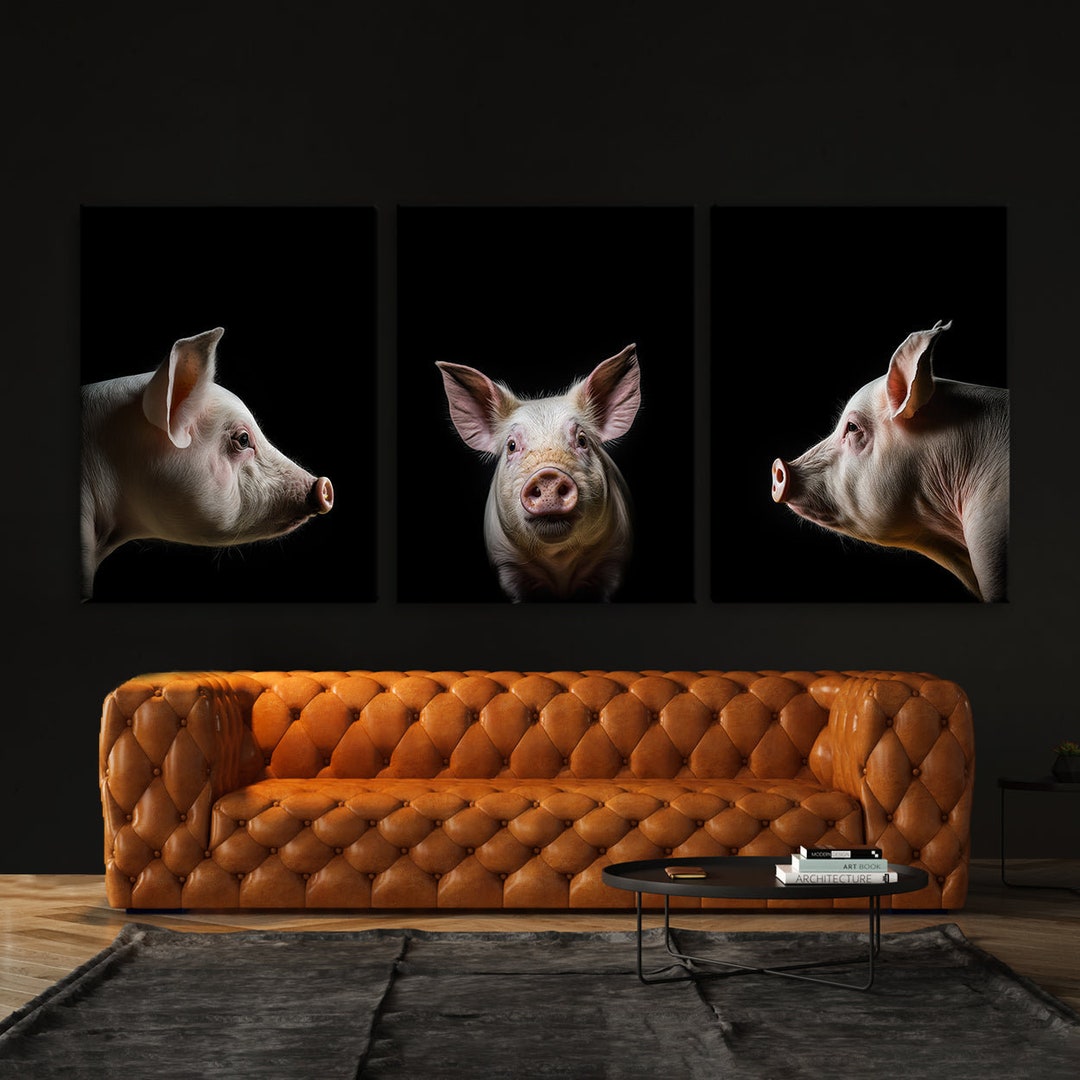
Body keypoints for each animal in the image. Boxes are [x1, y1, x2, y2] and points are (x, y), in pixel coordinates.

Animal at [436, 345, 641, 601]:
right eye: (511, 445)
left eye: (582, 440)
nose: (548, 475)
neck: (559, 564)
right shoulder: (507, 566)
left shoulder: (613, 559)